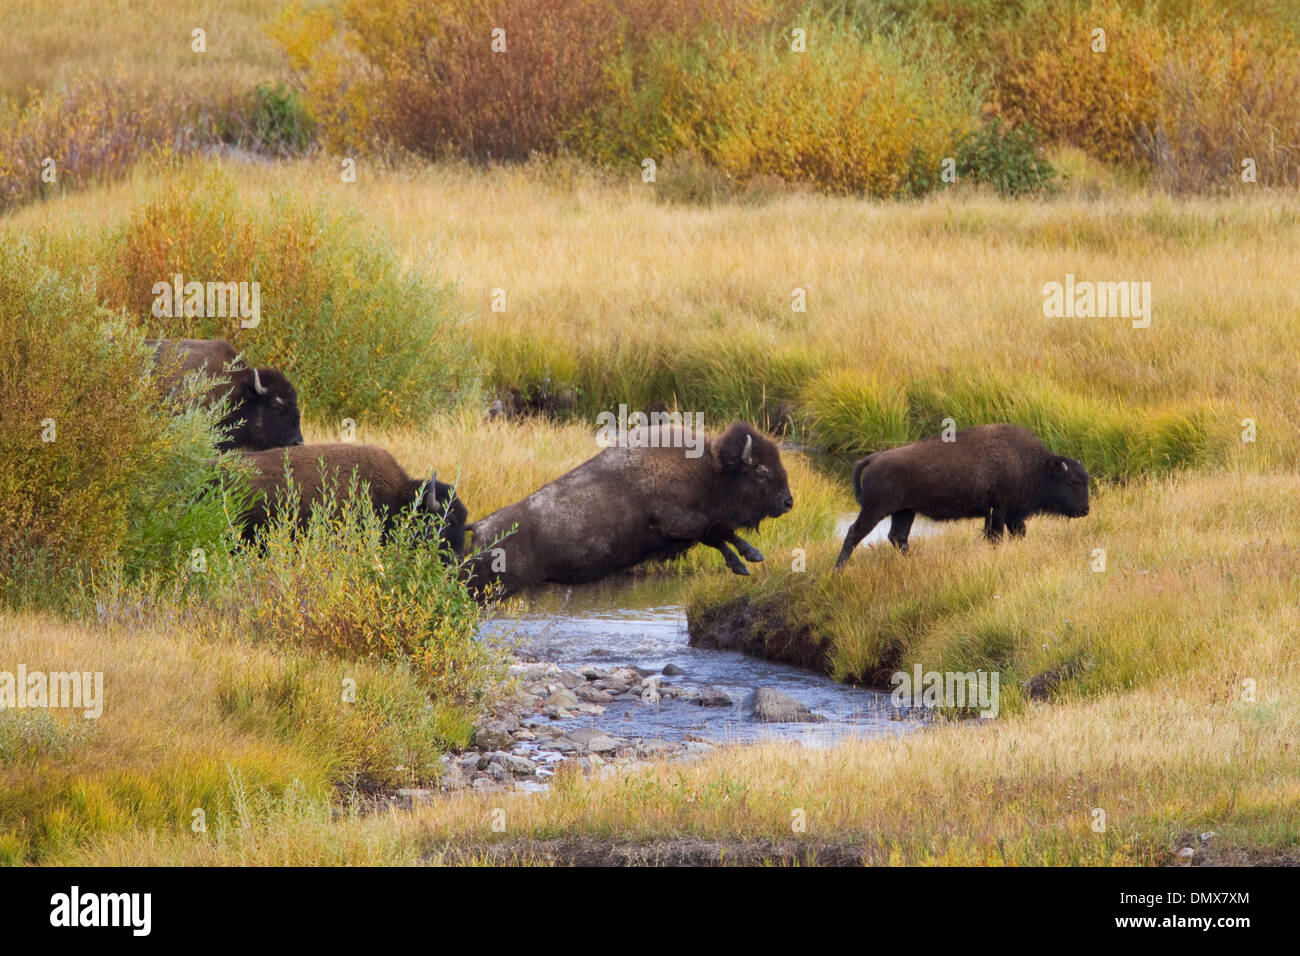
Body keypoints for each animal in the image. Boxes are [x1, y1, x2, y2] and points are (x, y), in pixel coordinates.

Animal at [467, 421, 794, 598]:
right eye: (761, 472)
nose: (788, 502)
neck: (710, 470)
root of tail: (478, 529)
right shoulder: (680, 523)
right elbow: (718, 533)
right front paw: (749, 558)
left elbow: (719, 535)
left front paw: (747, 560)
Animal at [834, 423, 1090, 569]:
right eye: (1073, 482)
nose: (1085, 510)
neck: (1033, 465)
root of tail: (874, 457)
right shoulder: (999, 511)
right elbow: (996, 536)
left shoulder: (1010, 514)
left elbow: (1017, 532)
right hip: (875, 510)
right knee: (854, 533)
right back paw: (838, 569)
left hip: (905, 512)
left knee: (898, 537)